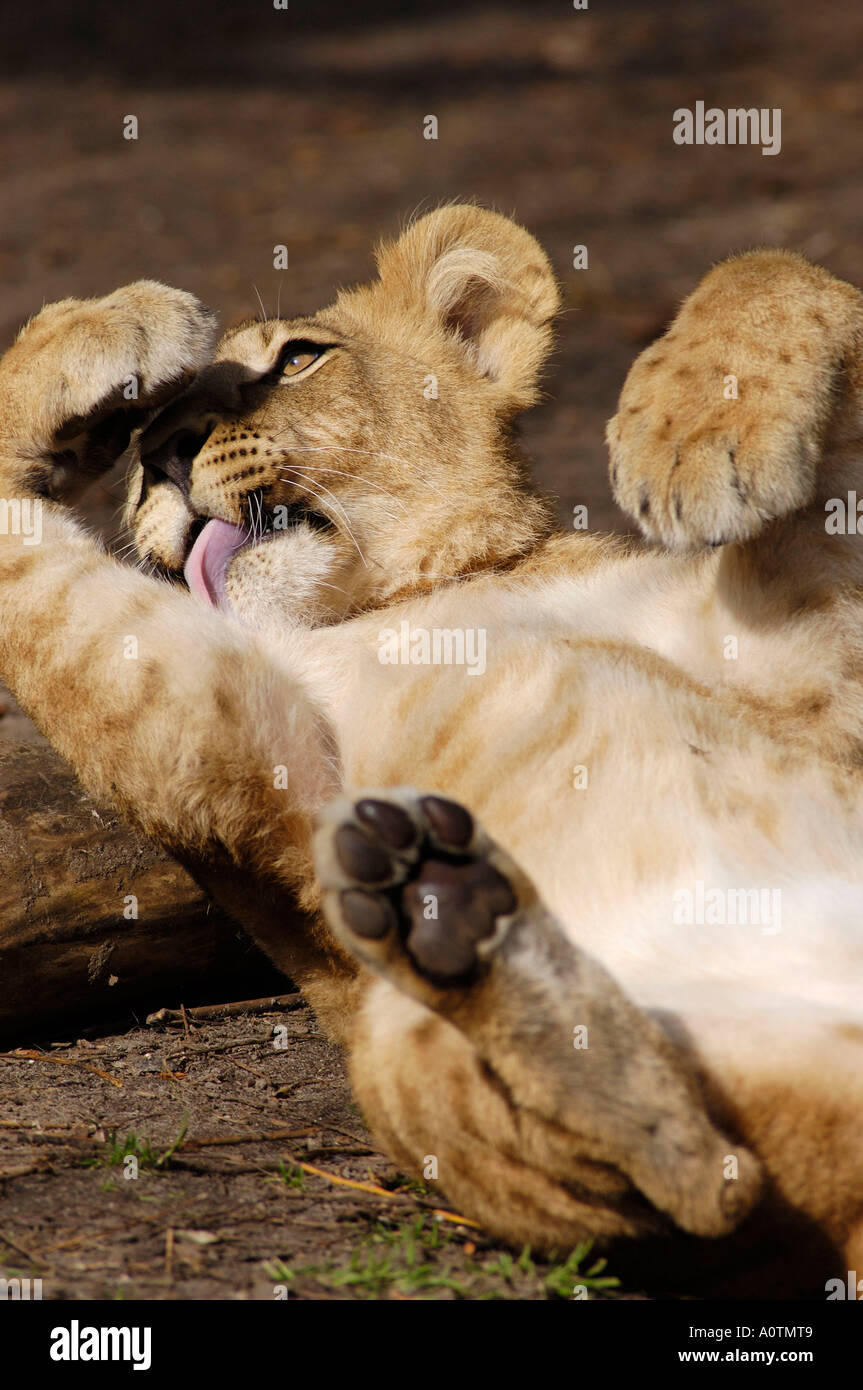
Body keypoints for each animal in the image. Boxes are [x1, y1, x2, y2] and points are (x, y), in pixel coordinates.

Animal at [1, 205, 862, 1296]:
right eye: (145, 446)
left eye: (297, 358)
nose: (156, 453)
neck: (438, 591)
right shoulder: (242, 752)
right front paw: (116, 335)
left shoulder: (816, 670)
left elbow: (771, 267)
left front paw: (689, 439)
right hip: (387, 1046)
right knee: (695, 1189)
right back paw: (452, 915)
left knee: (712, 1192)